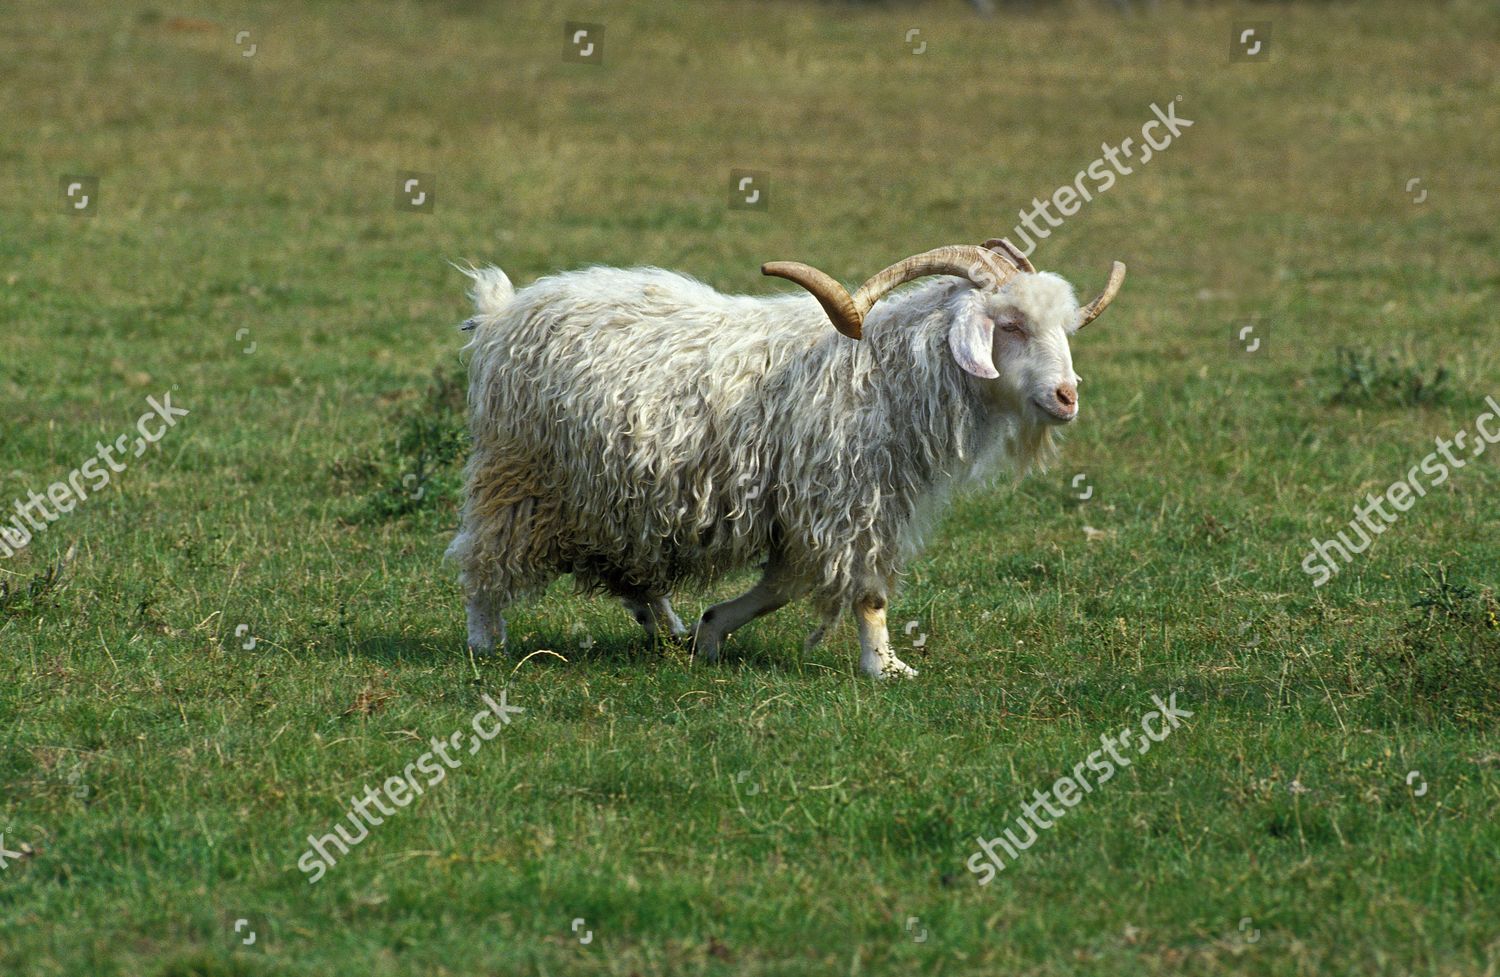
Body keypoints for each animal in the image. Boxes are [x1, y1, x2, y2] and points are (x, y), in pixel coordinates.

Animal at [446, 240, 1124, 677]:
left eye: (1063, 328)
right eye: (1009, 325)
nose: (1067, 396)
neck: (884, 370)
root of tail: (502, 311)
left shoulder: (820, 505)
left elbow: (783, 583)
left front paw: (712, 632)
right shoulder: (847, 498)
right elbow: (866, 592)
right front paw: (885, 667)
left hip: (613, 494)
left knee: (630, 571)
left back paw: (667, 628)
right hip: (522, 475)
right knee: (484, 558)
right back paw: (485, 644)